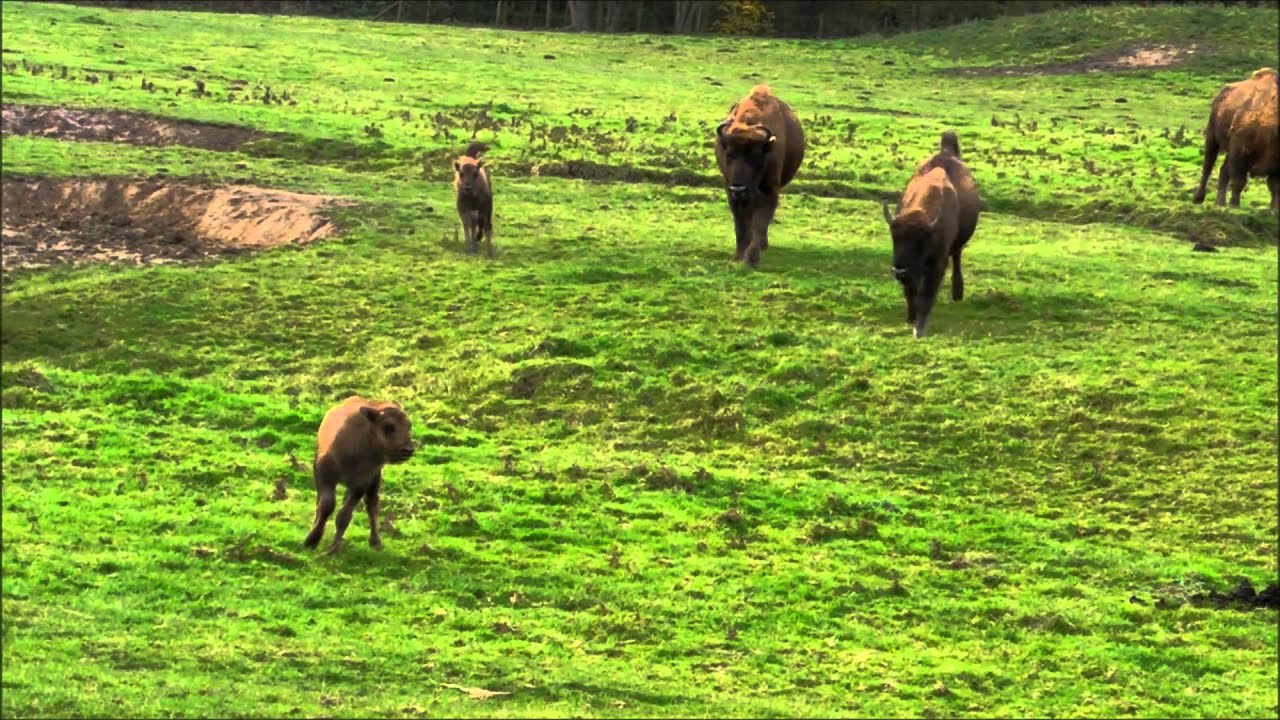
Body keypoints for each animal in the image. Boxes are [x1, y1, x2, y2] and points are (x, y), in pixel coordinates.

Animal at [714, 84, 805, 268]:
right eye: (729, 155)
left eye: (755, 156)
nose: (739, 188)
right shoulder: (731, 193)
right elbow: (740, 224)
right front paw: (739, 255)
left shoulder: (769, 192)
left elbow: (760, 223)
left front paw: (751, 258)